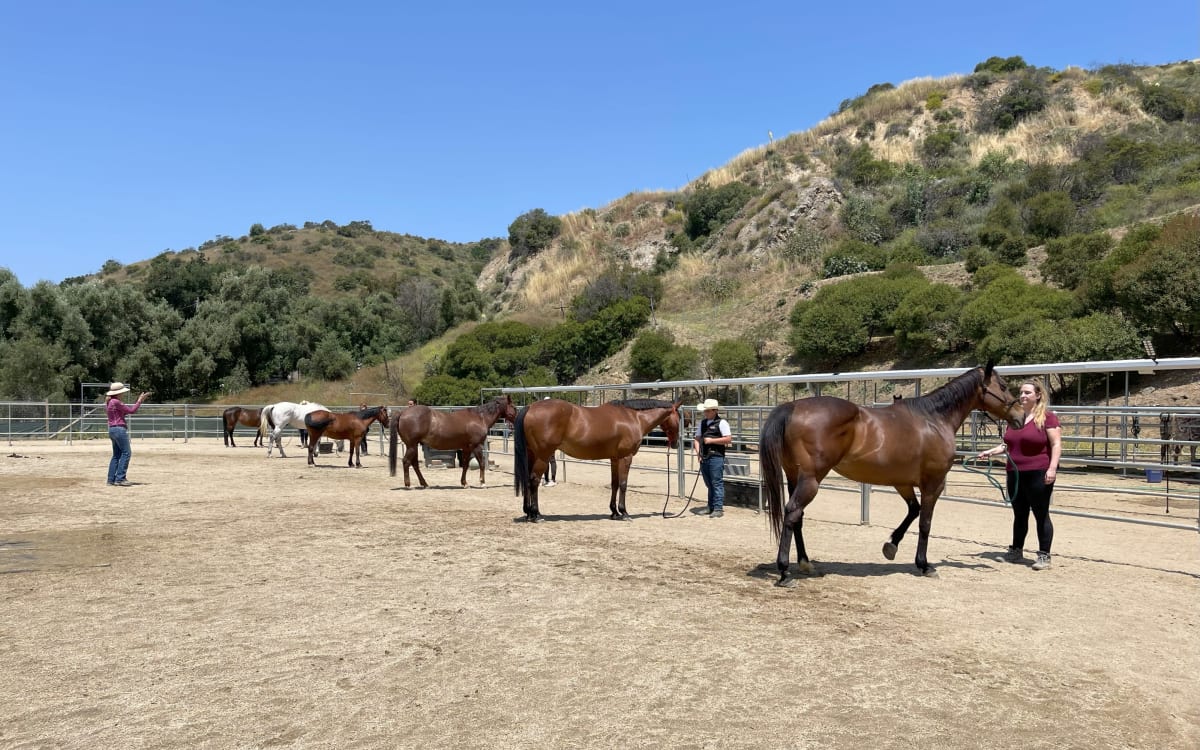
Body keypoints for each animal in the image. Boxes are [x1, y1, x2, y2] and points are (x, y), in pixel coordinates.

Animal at [388, 396, 517, 488]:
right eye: (514, 407)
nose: (517, 419)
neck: (480, 418)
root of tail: (403, 413)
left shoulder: (467, 448)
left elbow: (465, 465)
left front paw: (464, 483)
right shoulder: (476, 446)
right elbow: (481, 463)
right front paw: (482, 482)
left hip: (413, 446)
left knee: (414, 464)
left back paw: (424, 484)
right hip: (411, 446)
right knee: (406, 462)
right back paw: (408, 485)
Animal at [514, 397, 683, 522]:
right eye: (679, 418)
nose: (676, 443)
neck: (633, 417)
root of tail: (530, 407)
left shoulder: (615, 459)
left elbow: (614, 484)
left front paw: (614, 512)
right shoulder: (626, 457)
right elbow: (623, 484)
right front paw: (624, 513)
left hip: (531, 454)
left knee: (527, 480)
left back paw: (528, 514)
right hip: (543, 456)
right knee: (534, 481)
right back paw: (536, 515)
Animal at [759, 364, 1023, 585]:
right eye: (1003, 386)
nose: (1020, 416)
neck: (934, 419)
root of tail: (792, 407)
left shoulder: (902, 483)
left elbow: (913, 511)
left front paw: (891, 546)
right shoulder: (933, 484)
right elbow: (925, 523)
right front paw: (924, 565)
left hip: (795, 478)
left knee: (798, 517)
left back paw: (805, 563)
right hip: (811, 480)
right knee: (792, 512)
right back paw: (784, 572)